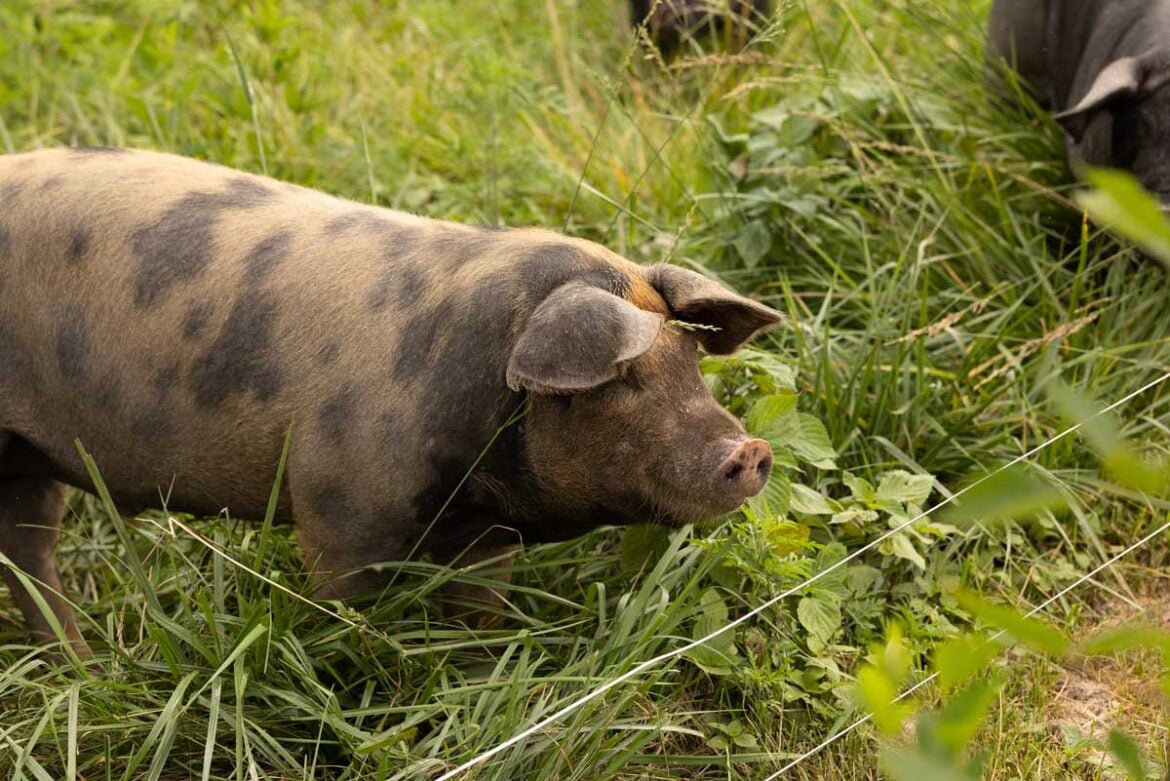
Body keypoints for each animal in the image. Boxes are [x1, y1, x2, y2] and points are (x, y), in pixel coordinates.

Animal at [0, 148, 781, 653]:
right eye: (621, 378)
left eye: (690, 362)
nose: (750, 447)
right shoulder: (340, 509)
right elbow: (348, 612)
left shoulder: (484, 535)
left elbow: (479, 612)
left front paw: (473, 666)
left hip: (25, 457)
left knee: (26, 548)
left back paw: (81, 661)